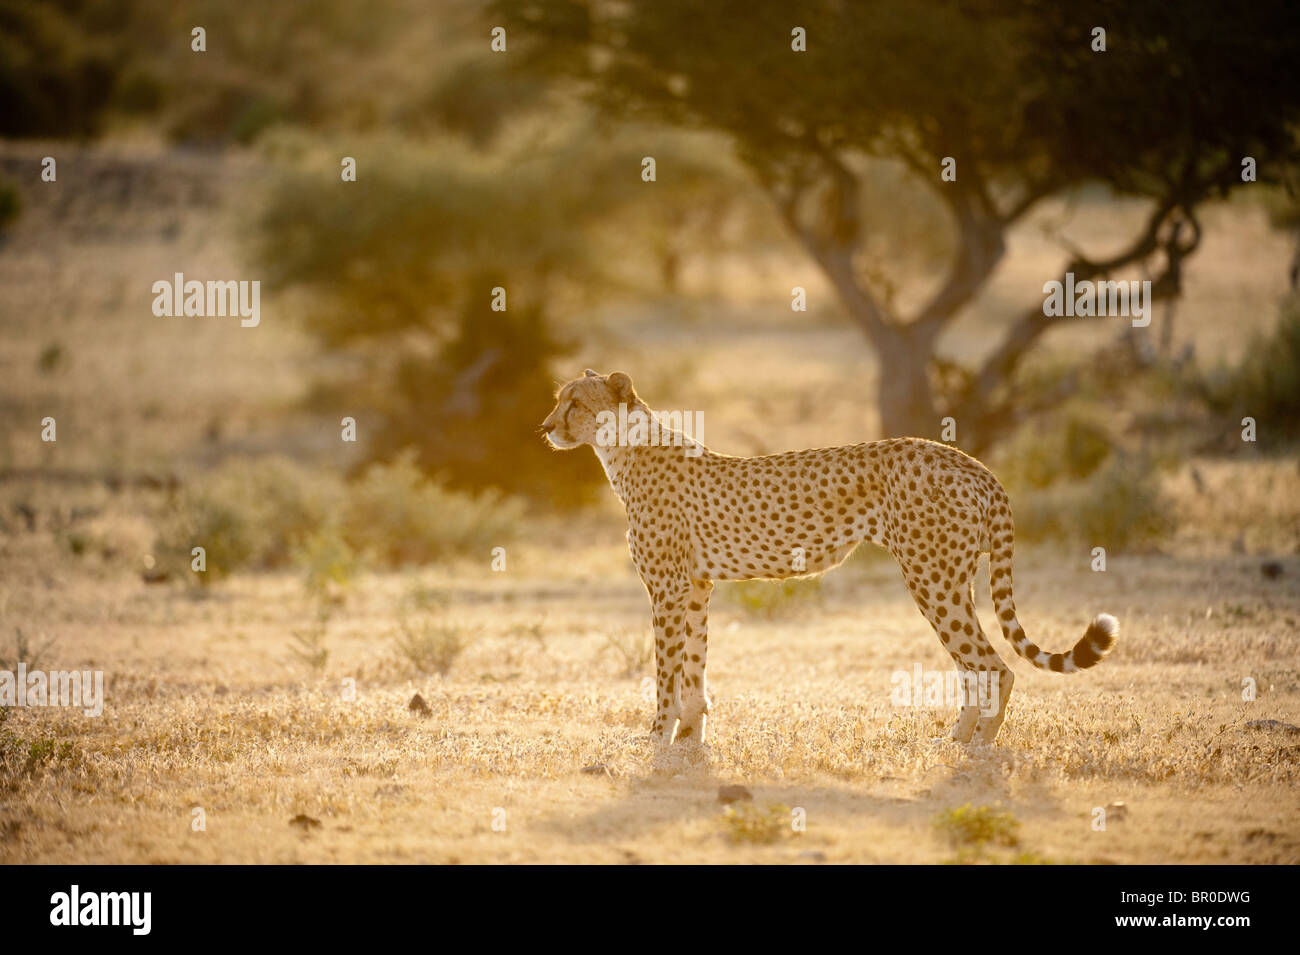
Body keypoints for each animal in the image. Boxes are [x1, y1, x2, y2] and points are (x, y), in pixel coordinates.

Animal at [541, 369, 1118, 747]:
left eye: (576, 404)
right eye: (558, 398)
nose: (545, 427)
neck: (626, 449)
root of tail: (966, 459)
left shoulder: (668, 590)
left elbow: (666, 672)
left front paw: (657, 737)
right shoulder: (697, 588)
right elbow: (695, 669)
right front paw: (689, 736)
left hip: (930, 577)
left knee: (993, 665)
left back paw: (977, 748)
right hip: (953, 577)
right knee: (973, 665)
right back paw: (954, 738)